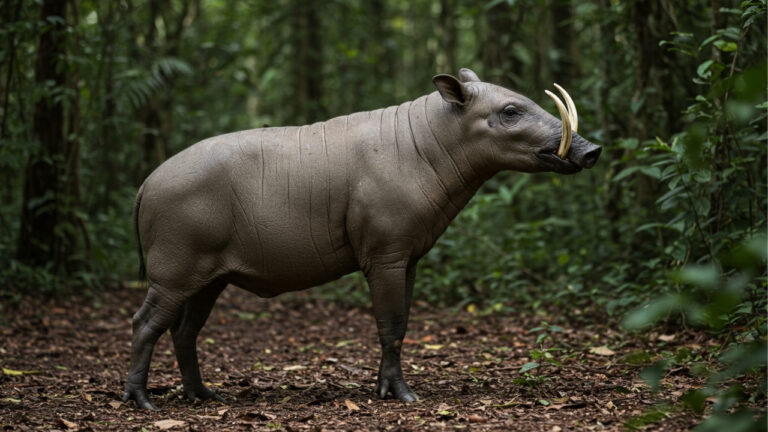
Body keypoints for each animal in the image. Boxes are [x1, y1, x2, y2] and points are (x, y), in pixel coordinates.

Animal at [123, 68, 601, 409]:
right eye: (510, 111)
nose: (591, 150)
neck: (427, 149)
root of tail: (145, 185)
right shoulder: (385, 253)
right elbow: (389, 324)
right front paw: (401, 395)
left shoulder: (410, 256)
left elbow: (402, 324)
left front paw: (384, 389)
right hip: (174, 270)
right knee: (145, 323)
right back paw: (142, 401)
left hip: (209, 277)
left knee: (185, 331)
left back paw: (203, 396)